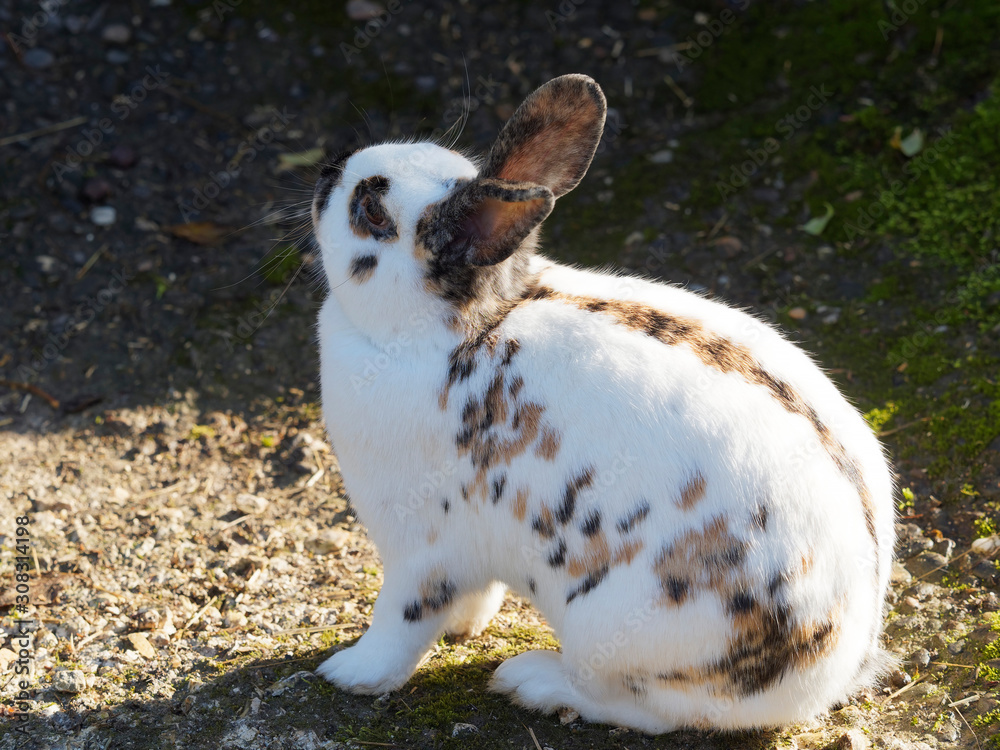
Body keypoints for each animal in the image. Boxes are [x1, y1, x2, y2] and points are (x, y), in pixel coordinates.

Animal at [310, 74, 895, 733]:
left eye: (372, 211)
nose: (329, 169)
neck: (466, 326)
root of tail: (834, 670)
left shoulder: (421, 550)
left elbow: (400, 623)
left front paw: (349, 673)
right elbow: (475, 596)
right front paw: (465, 629)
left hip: (610, 631)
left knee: (642, 708)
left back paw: (531, 680)